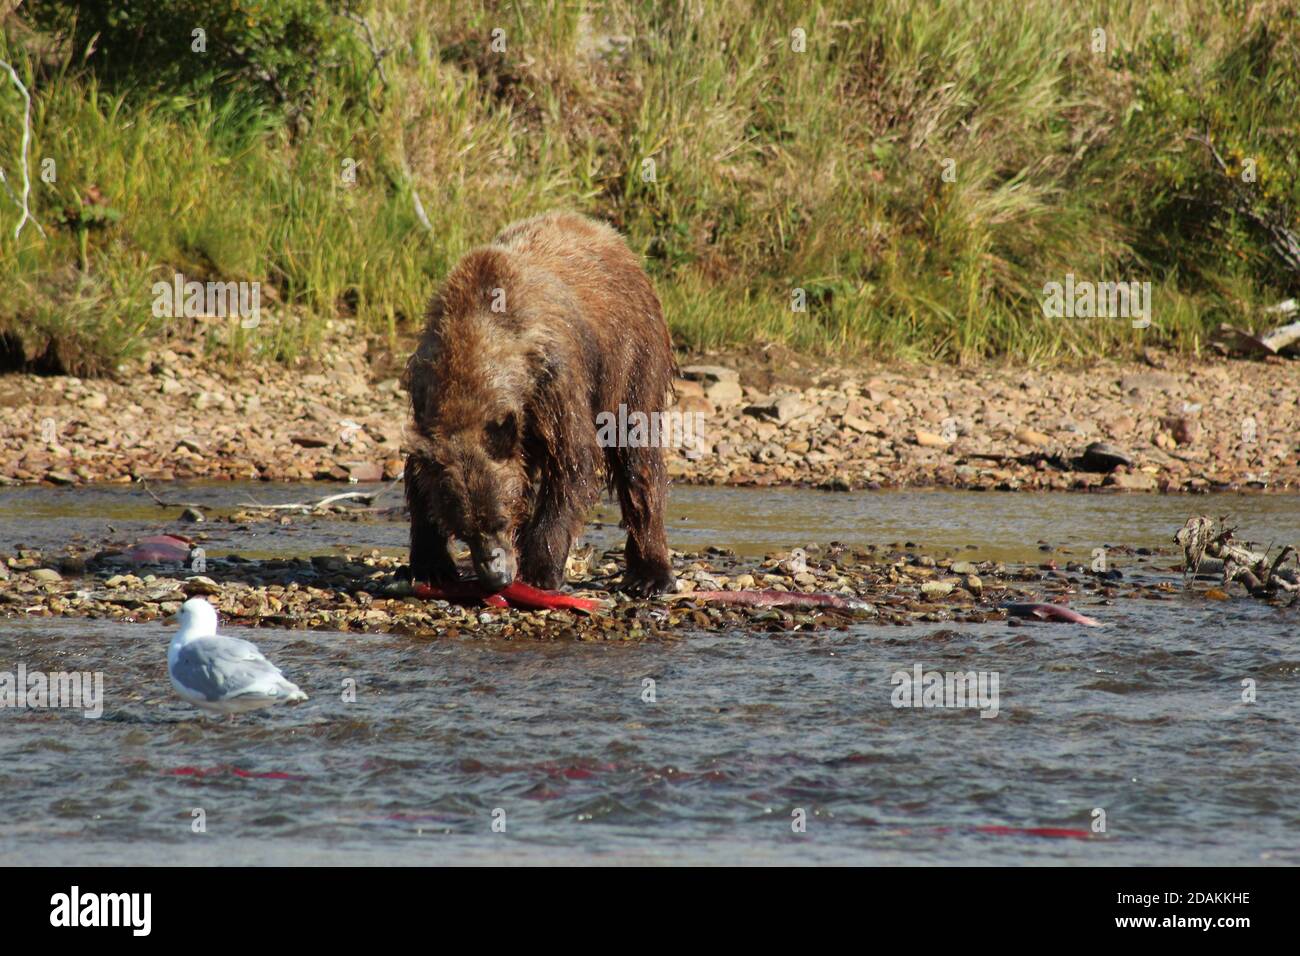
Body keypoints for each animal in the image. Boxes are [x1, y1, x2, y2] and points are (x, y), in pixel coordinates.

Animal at [403, 212, 676, 596]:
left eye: (501, 519)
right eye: (464, 530)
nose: (497, 576)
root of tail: (608, 233)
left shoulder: (555, 378)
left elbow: (573, 461)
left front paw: (539, 569)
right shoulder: (424, 391)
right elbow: (419, 476)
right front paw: (431, 564)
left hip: (632, 349)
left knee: (637, 451)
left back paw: (650, 574)